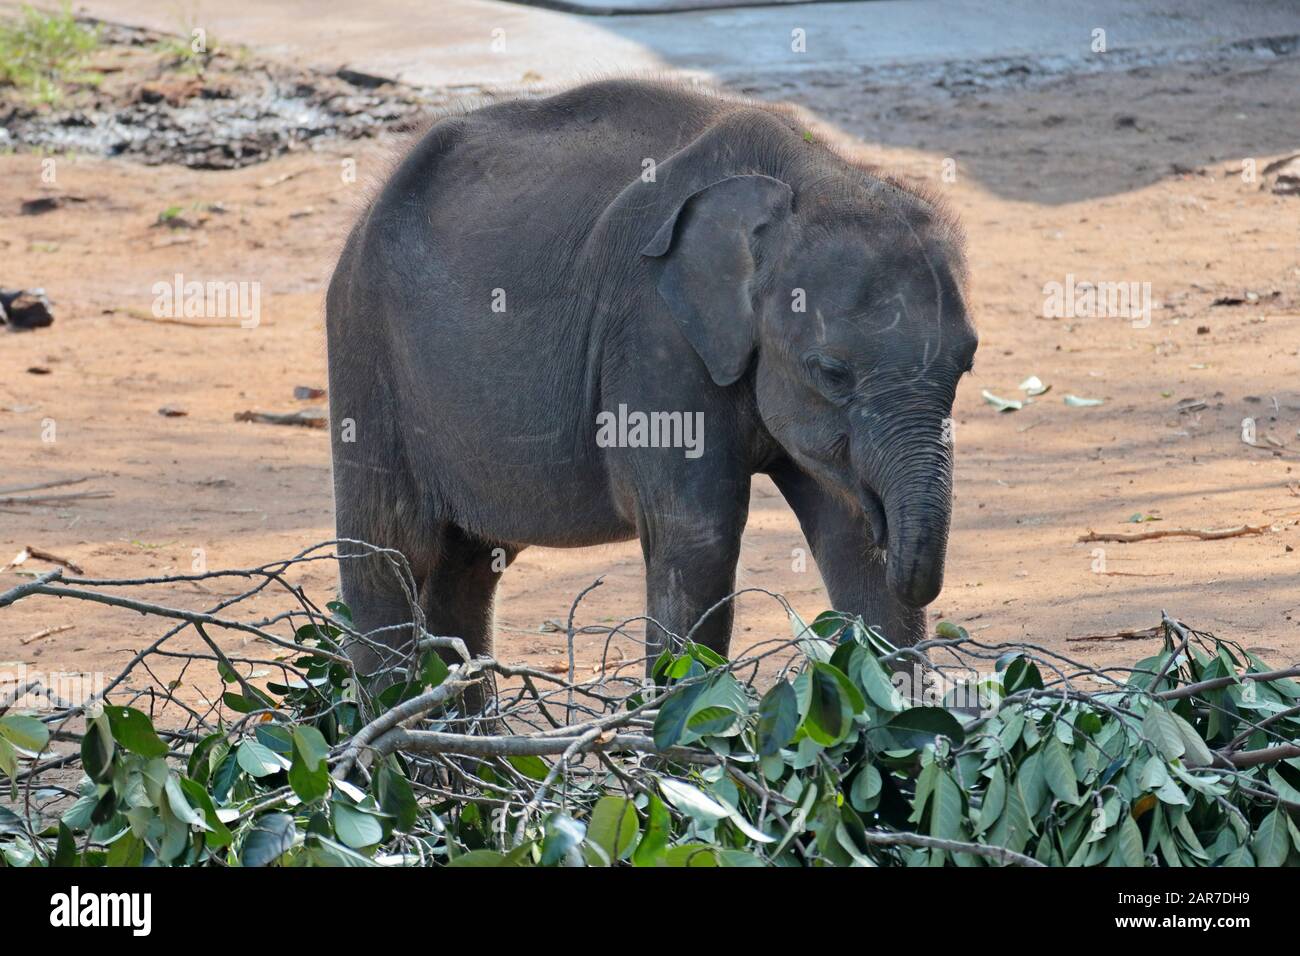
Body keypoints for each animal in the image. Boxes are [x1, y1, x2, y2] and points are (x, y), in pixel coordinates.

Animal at [325, 79, 977, 689]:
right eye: (832, 373)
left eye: (966, 365)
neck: (805, 179)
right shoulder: (652, 332)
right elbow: (697, 535)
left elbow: (847, 537)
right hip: (365, 350)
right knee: (389, 558)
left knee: (469, 565)